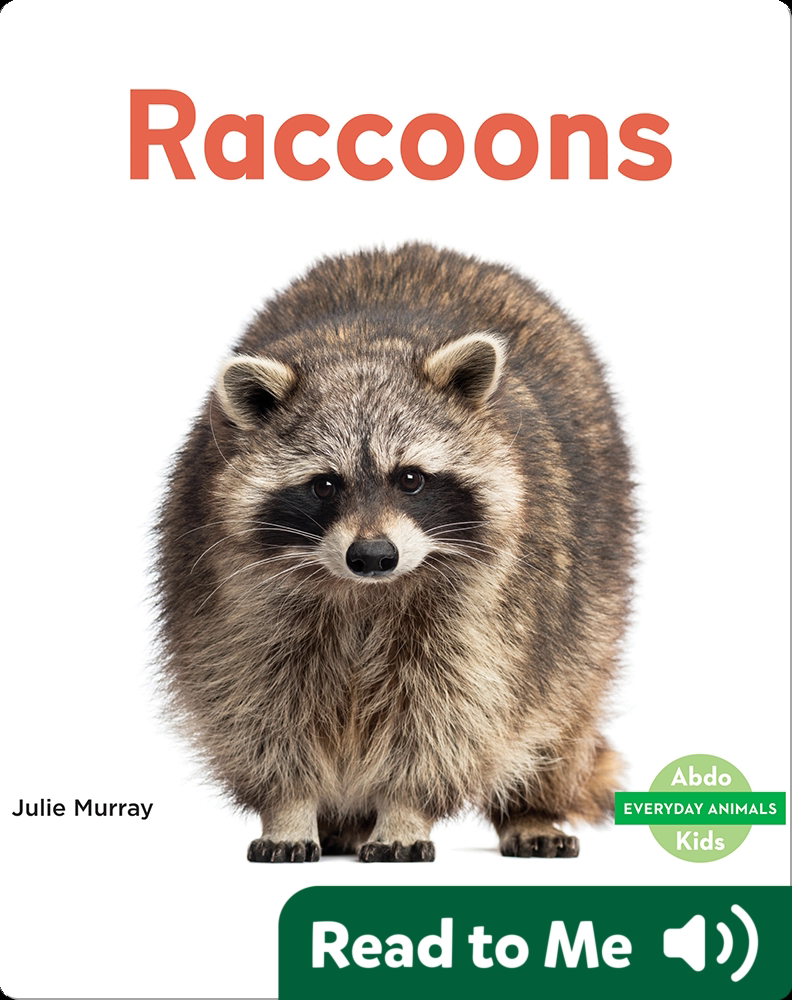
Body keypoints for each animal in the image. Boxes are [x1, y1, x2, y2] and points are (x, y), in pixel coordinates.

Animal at [155, 243, 635, 863]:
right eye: (324, 485)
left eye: (410, 479)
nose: (374, 556)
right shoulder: (233, 593)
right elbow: (257, 701)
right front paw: (290, 806)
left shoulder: (490, 604)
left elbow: (451, 711)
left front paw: (405, 808)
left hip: (591, 604)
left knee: (558, 711)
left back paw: (531, 807)